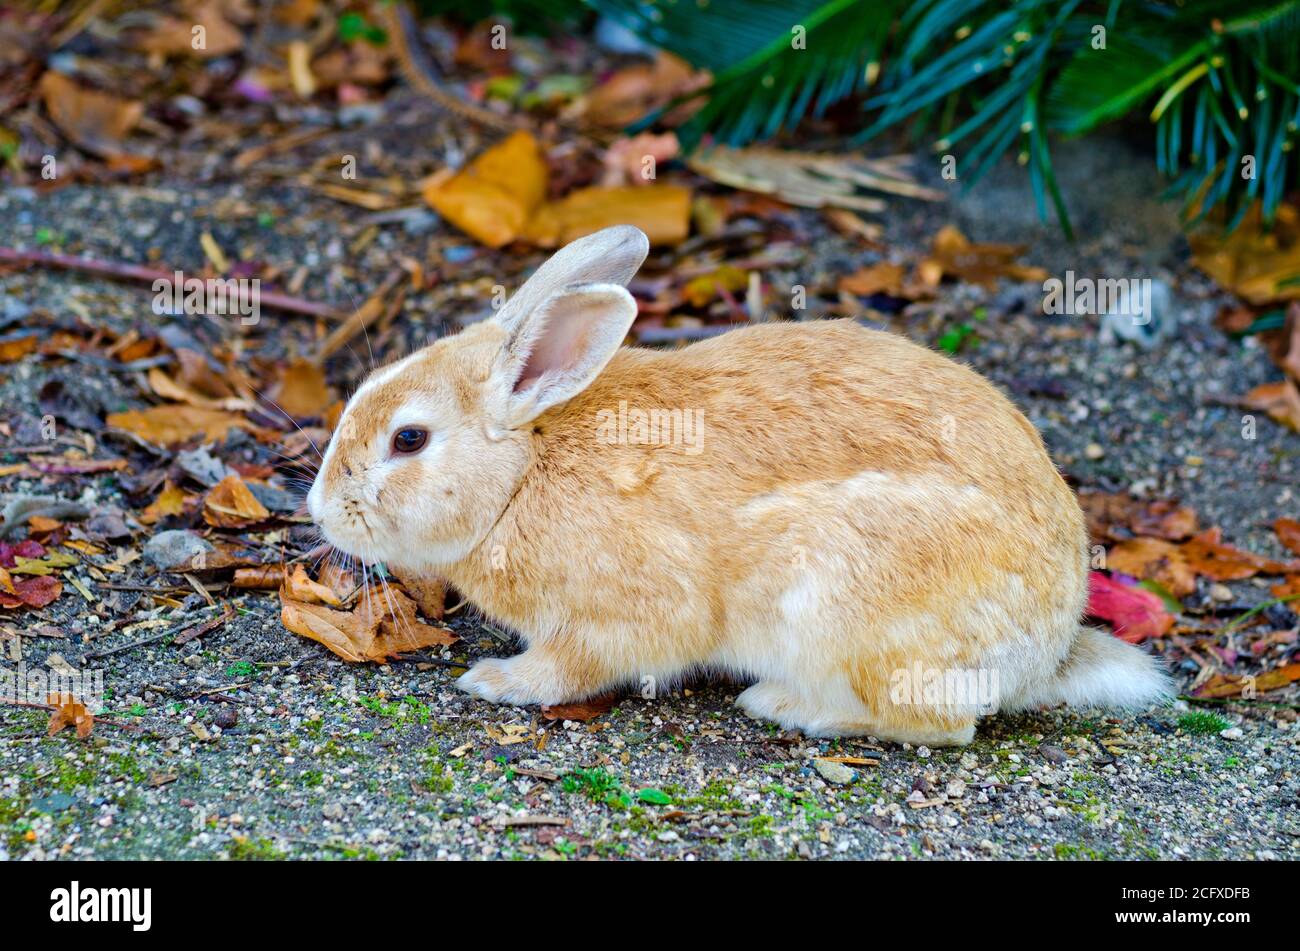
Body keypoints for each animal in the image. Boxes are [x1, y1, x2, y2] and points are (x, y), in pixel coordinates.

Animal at [307, 225, 1169, 745]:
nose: (318, 510)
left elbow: (573, 666)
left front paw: (495, 682)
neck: (523, 471)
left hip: (840, 608)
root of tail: (1048, 647)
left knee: (935, 721)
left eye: (409, 439)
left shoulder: (620, 619)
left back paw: (781, 705)